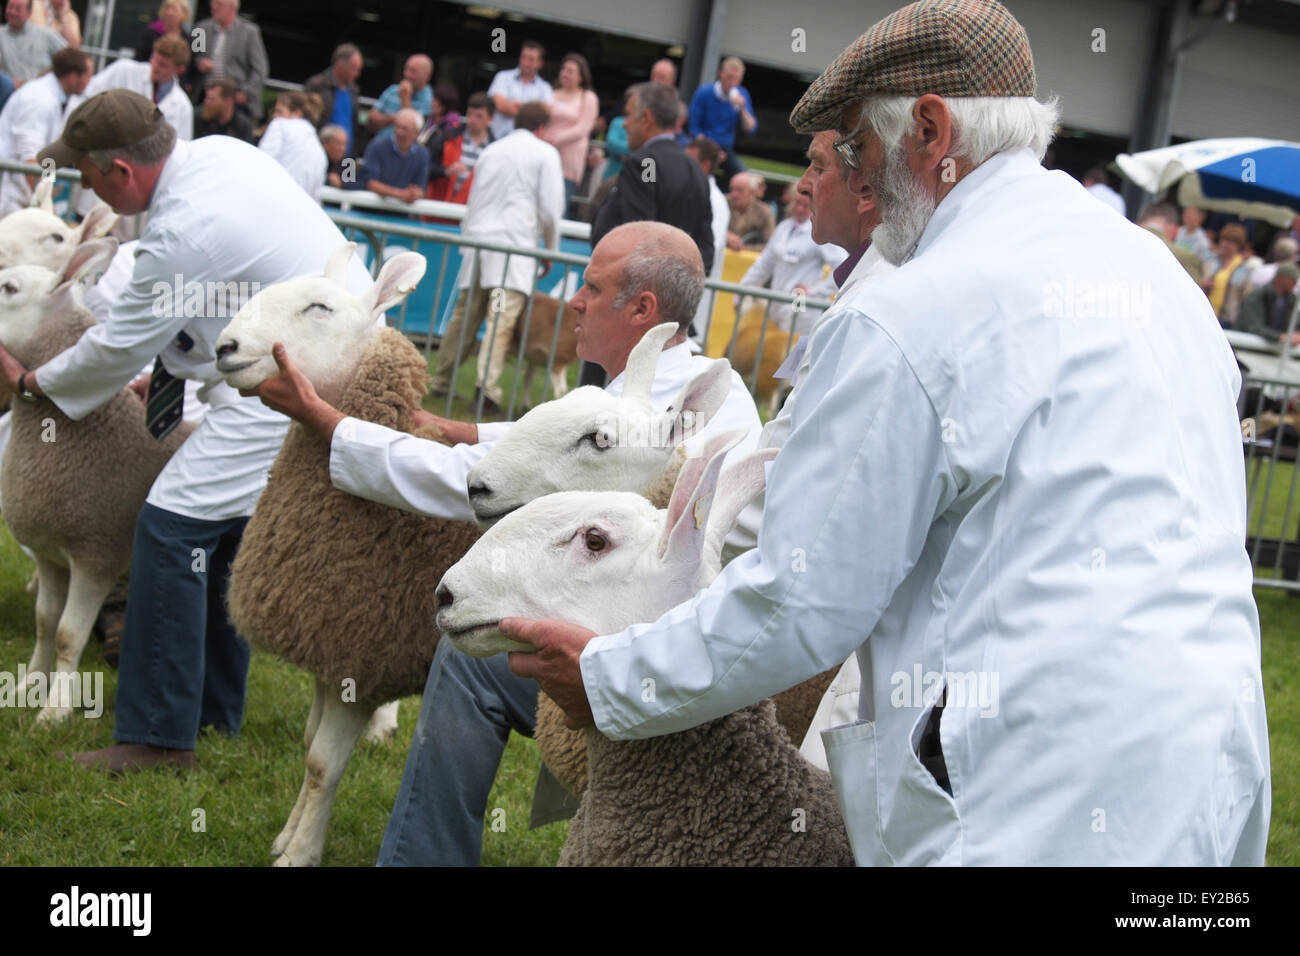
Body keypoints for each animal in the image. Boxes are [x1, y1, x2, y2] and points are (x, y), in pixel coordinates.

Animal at [0, 237, 193, 724]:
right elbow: (44, 622)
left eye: (9, 288)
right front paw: (28, 686)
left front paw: (54, 713)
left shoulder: (95, 553)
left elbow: (68, 634)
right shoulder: (50, 555)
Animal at [215, 243, 484, 867]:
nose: (226, 347)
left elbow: (321, 765)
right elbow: (308, 746)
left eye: (319, 307)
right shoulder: (324, 651)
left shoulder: (357, 659)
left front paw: (300, 854)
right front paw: (288, 836)